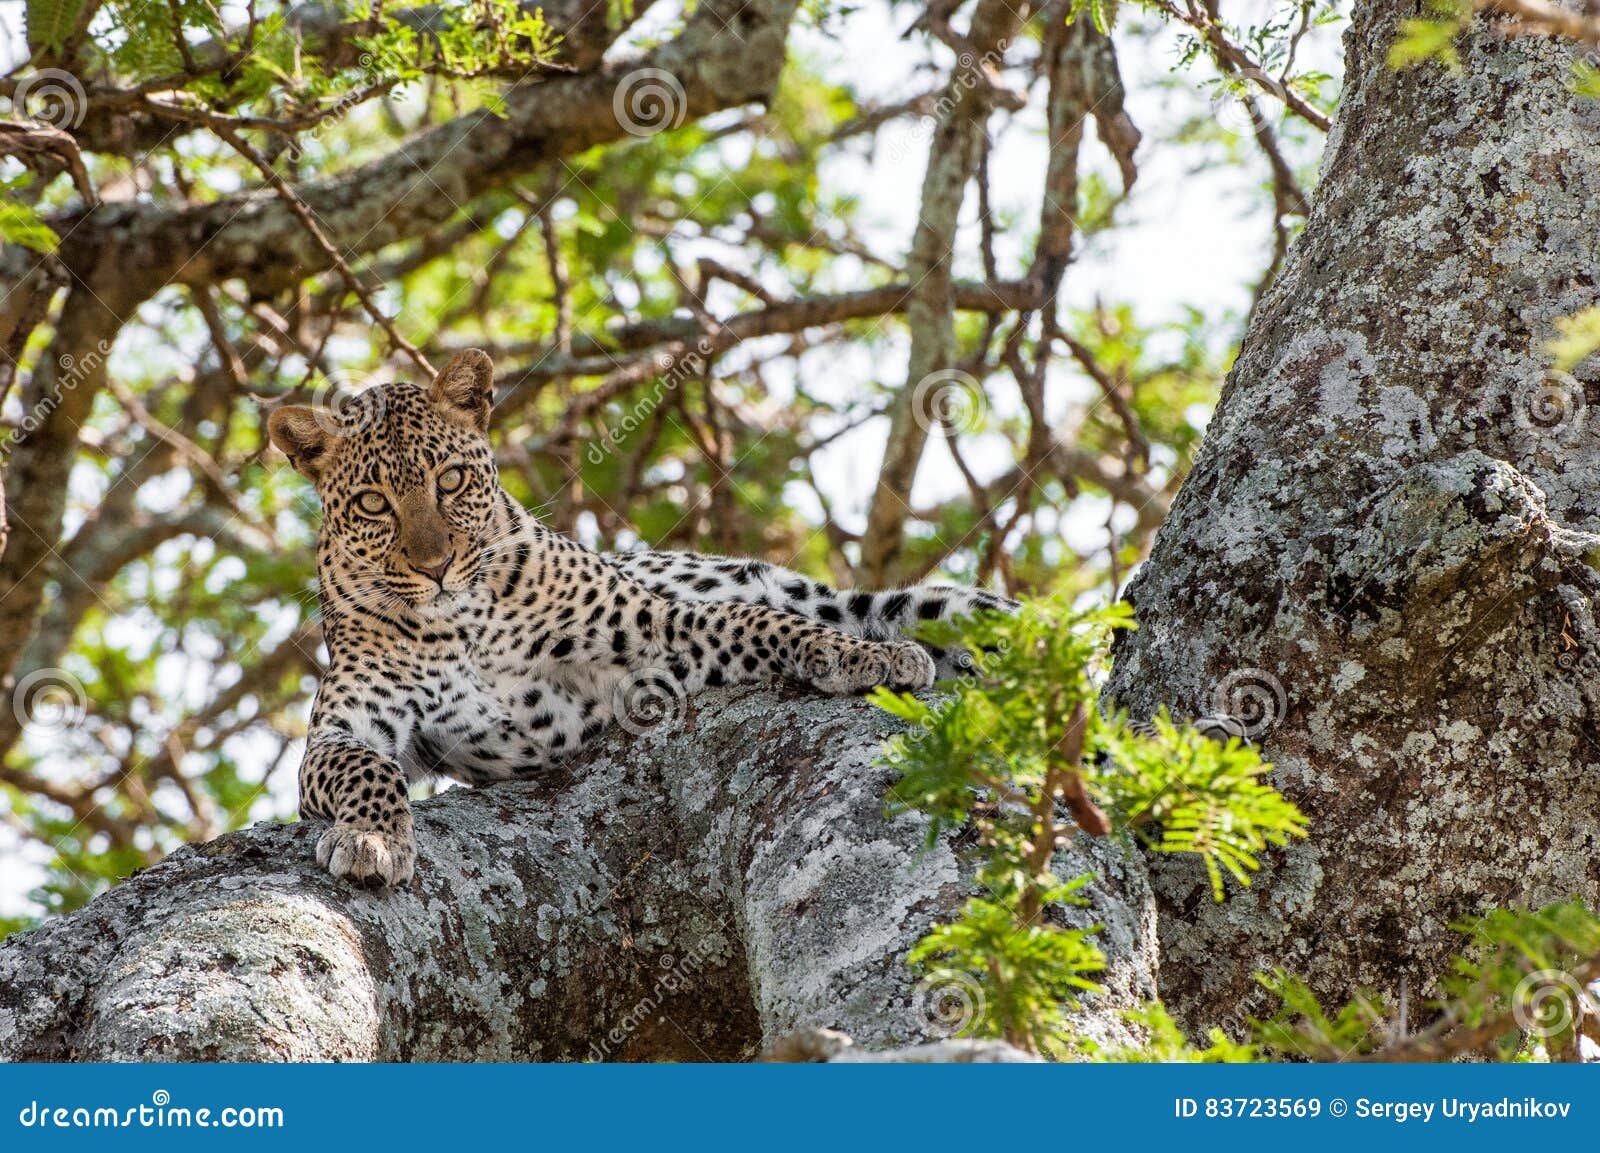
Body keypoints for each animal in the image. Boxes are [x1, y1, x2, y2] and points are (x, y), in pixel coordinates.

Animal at [266, 349, 1016, 888]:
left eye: (449, 479)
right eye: (372, 503)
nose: (436, 566)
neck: (466, 624)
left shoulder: (654, 625)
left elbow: (754, 622)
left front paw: (870, 657)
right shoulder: (344, 726)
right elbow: (367, 768)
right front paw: (372, 839)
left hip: (924, 605)